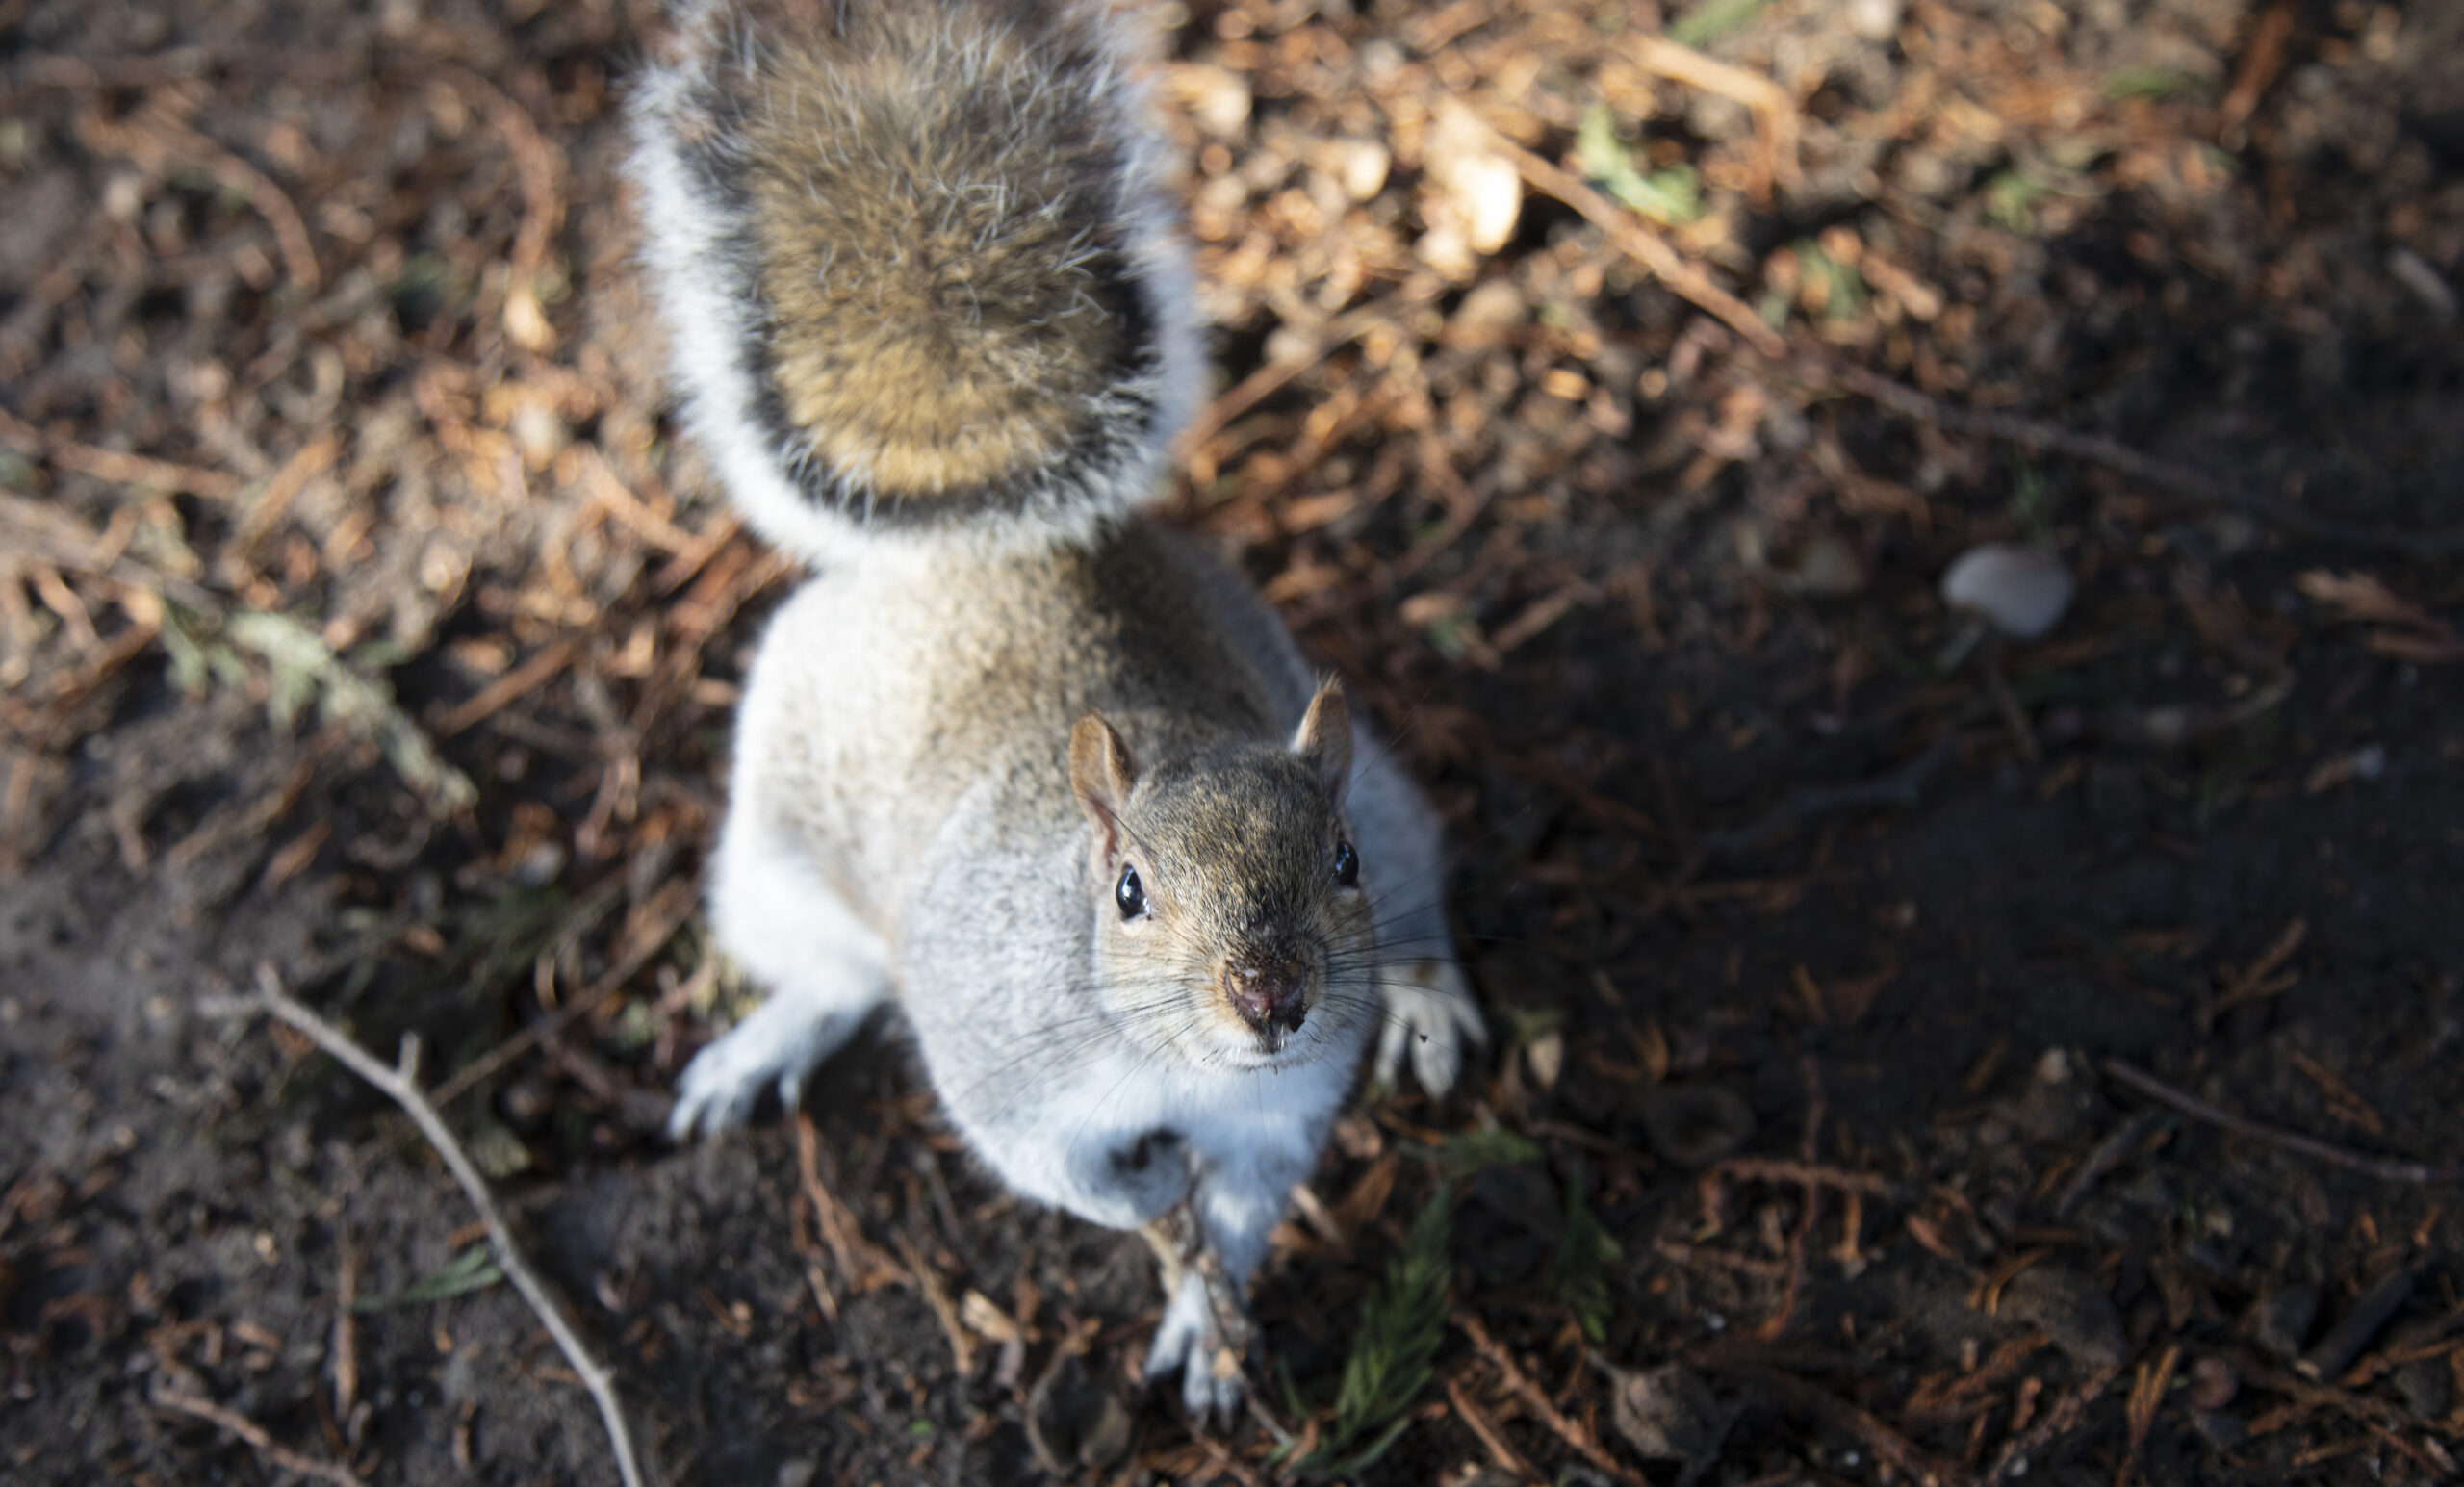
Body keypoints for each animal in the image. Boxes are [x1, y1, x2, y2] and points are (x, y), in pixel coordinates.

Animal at [627, 0, 1485, 1417]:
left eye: (1339, 861)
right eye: (1128, 891)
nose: (1272, 1000)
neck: (1180, 1067)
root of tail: (995, 543)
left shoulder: (1280, 1112)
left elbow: (1244, 1207)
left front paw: (1206, 1314)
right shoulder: (1001, 1055)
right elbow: (1055, 1169)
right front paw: (1145, 1200)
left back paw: (1427, 999)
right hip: (769, 859)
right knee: (830, 976)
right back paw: (761, 1047)